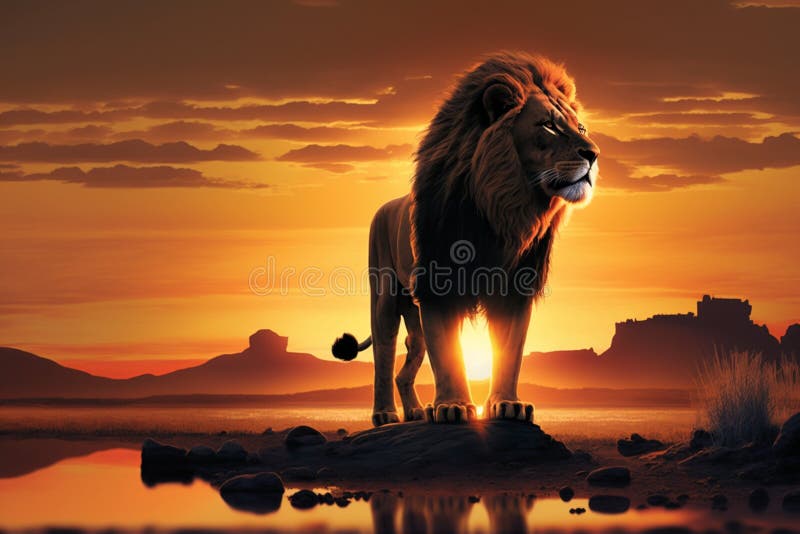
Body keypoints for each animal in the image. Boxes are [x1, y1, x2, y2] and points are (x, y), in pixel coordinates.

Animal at [332, 52, 600, 427]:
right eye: (548, 124)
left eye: (581, 128)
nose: (593, 154)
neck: (501, 211)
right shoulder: (437, 284)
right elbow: (448, 353)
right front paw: (452, 407)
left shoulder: (515, 286)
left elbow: (509, 350)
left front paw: (508, 405)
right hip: (384, 293)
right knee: (384, 353)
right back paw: (385, 414)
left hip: (413, 317)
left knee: (409, 358)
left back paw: (414, 411)